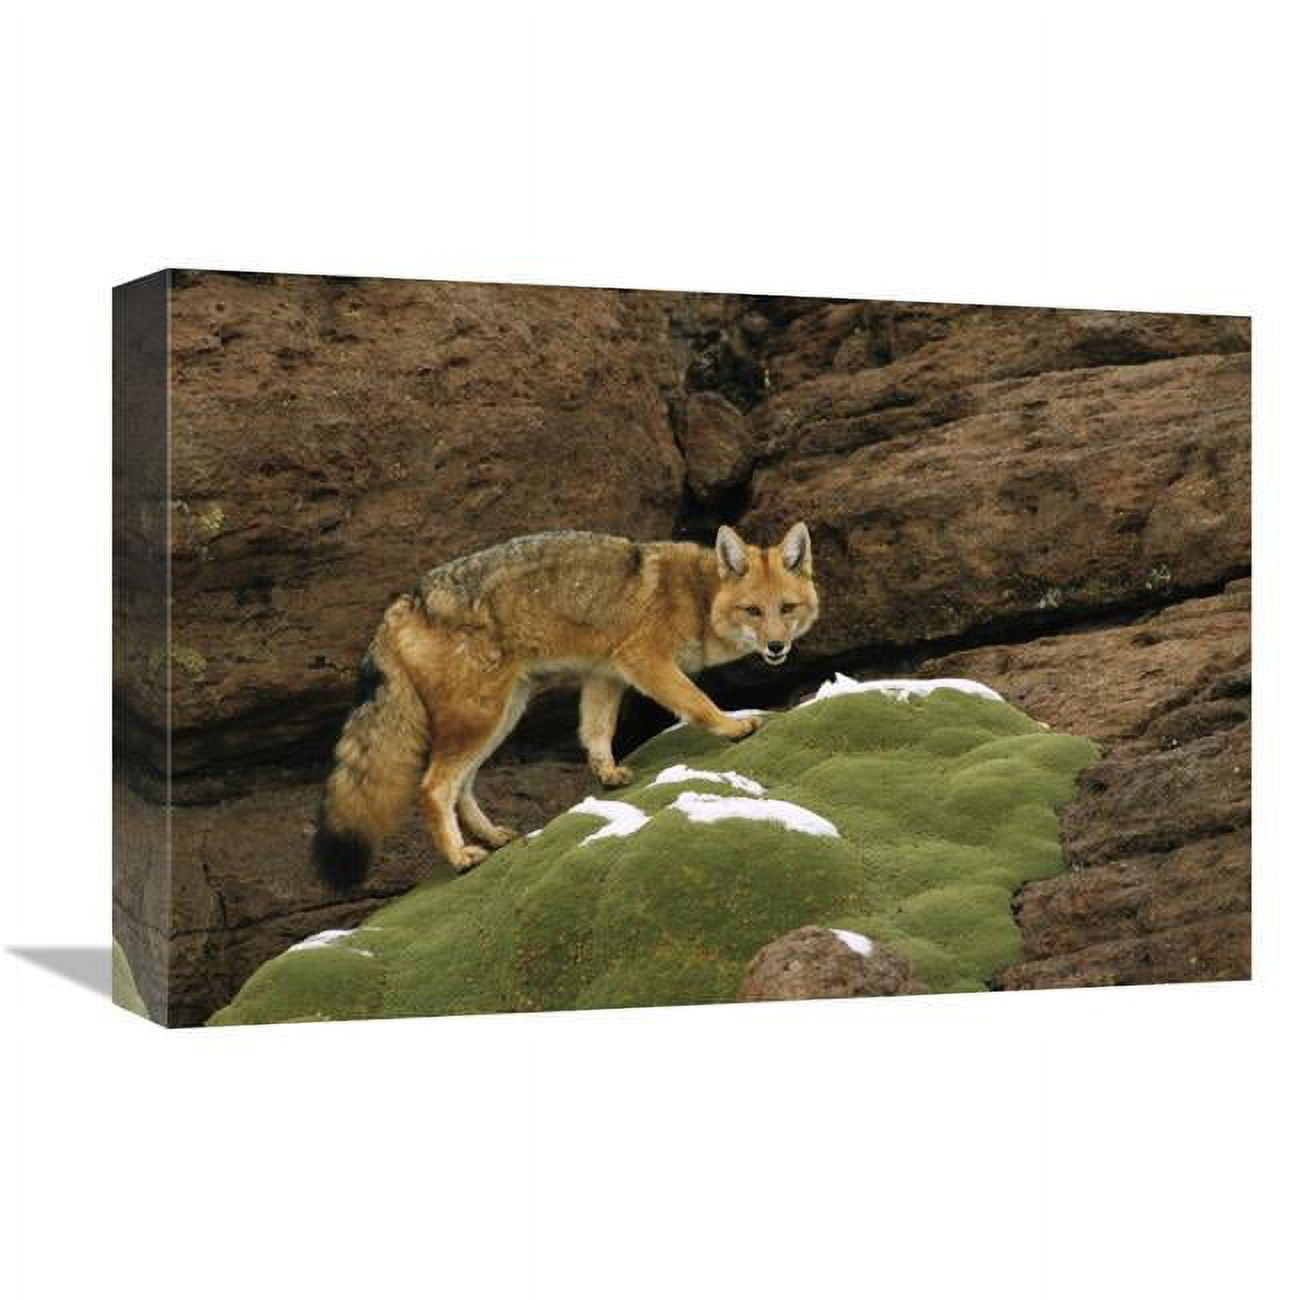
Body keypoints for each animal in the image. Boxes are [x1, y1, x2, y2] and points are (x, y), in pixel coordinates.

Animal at [310, 522, 819, 885]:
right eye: (753, 611)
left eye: (786, 609)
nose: (776, 647)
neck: (697, 594)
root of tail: (405, 602)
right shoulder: (644, 660)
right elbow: (695, 701)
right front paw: (732, 725)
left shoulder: (605, 674)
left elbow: (595, 732)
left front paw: (607, 775)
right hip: (481, 717)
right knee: (433, 787)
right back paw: (460, 858)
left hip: (500, 716)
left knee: (462, 787)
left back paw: (492, 837)